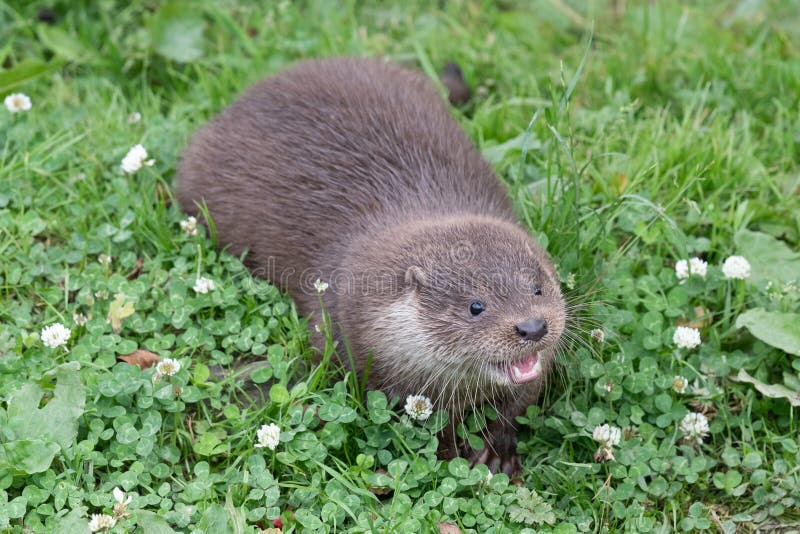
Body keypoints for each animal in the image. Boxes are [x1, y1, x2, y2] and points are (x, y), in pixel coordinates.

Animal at [177, 57, 566, 474]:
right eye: (475, 307)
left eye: (537, 289)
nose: (532, 326)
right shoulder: (345, 340)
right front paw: (450, 454)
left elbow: (519, 404)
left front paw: (498, 448)